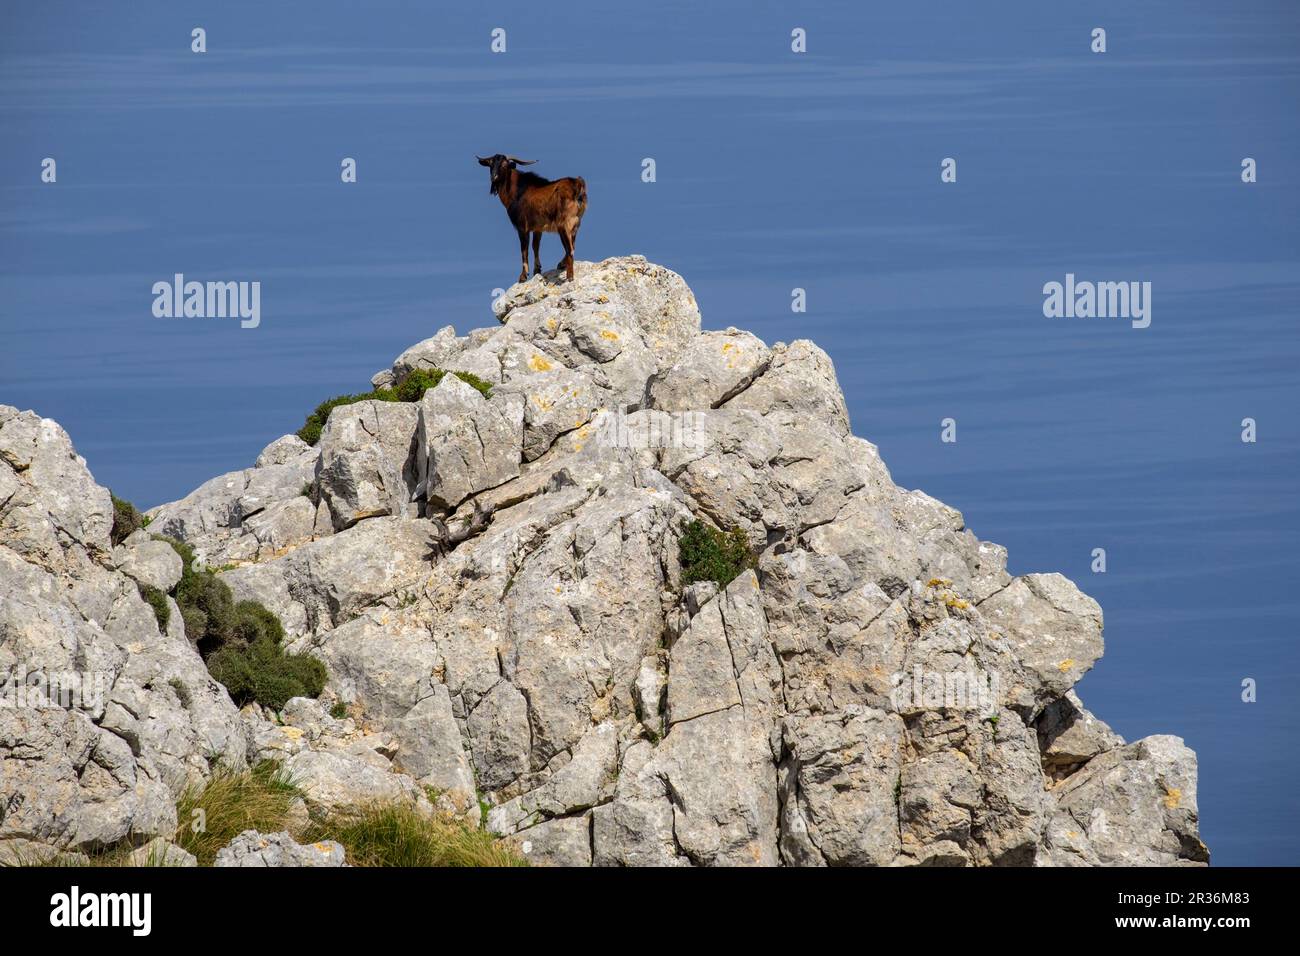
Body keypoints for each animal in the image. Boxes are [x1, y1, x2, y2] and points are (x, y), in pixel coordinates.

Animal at [476, 154, 587, 283]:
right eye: (490, 164)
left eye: (504, 164)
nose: (493, 177)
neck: (517, 192)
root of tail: (578, 185)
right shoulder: (537, 228)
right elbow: (535, 246)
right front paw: (537, 270)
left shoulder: (522, 227)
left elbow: (524, 249)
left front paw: (523, 276)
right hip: (576, 223)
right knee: (572, 244)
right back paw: (561, 265)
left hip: (564, 223)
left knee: (570, 249)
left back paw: (569, 276)